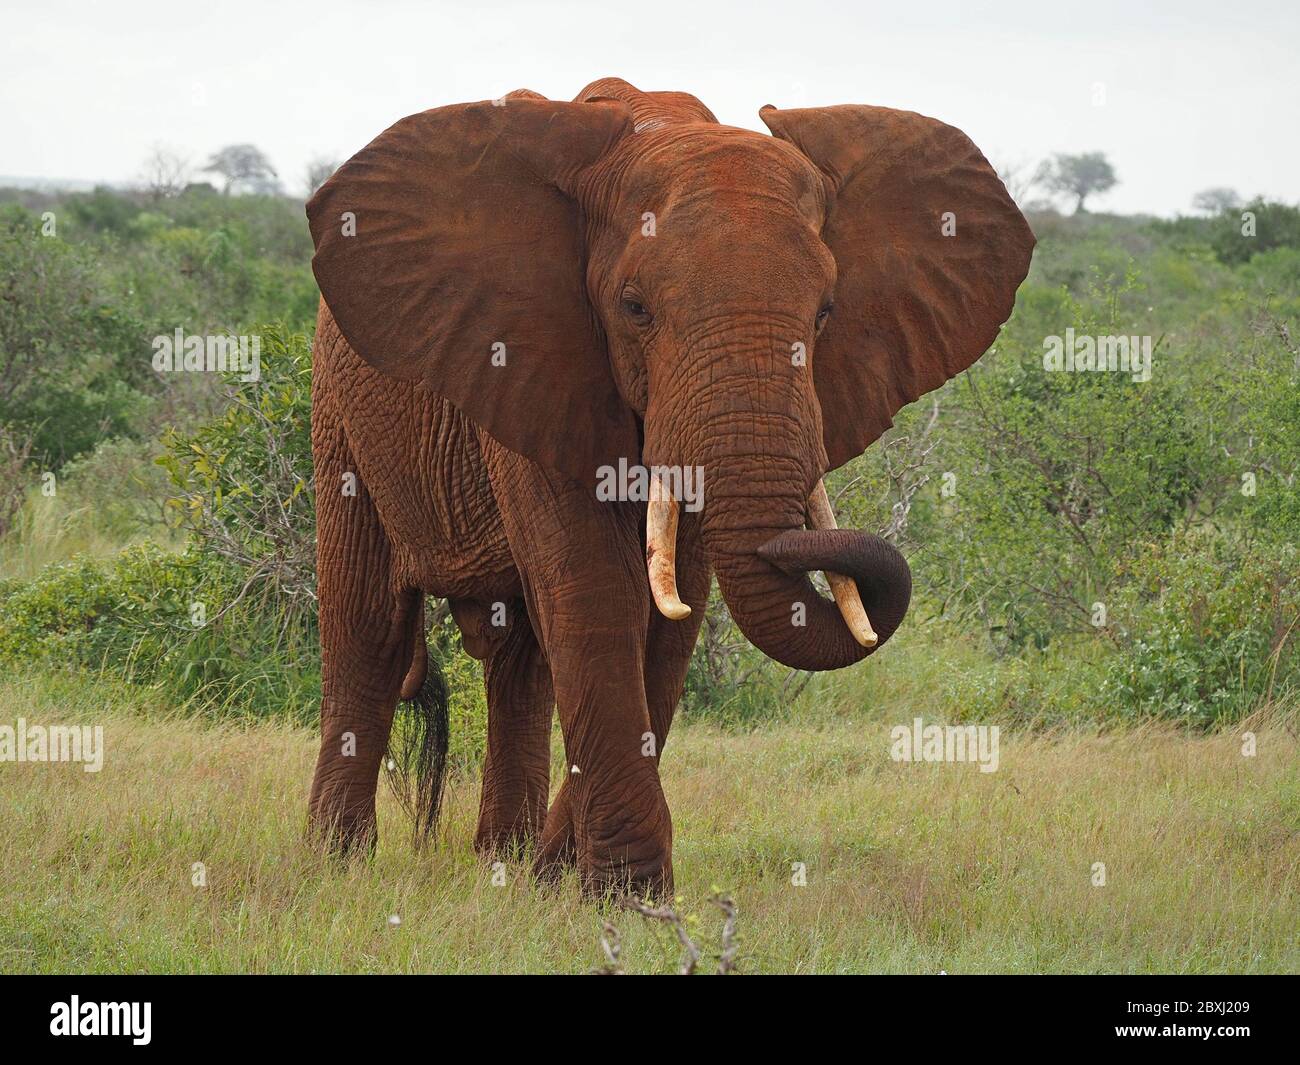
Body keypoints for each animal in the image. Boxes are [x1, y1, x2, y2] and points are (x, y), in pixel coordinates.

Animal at [303, 77, 1034, 895]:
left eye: (826, 312)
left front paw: (568, 881)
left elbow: (670, 616)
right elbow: (595, 595)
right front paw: (625, 896)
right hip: (340, 410)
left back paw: (505, 860)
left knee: (517, 660)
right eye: (634, 308)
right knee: (368, 627)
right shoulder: (525, 356)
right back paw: (337, 862)